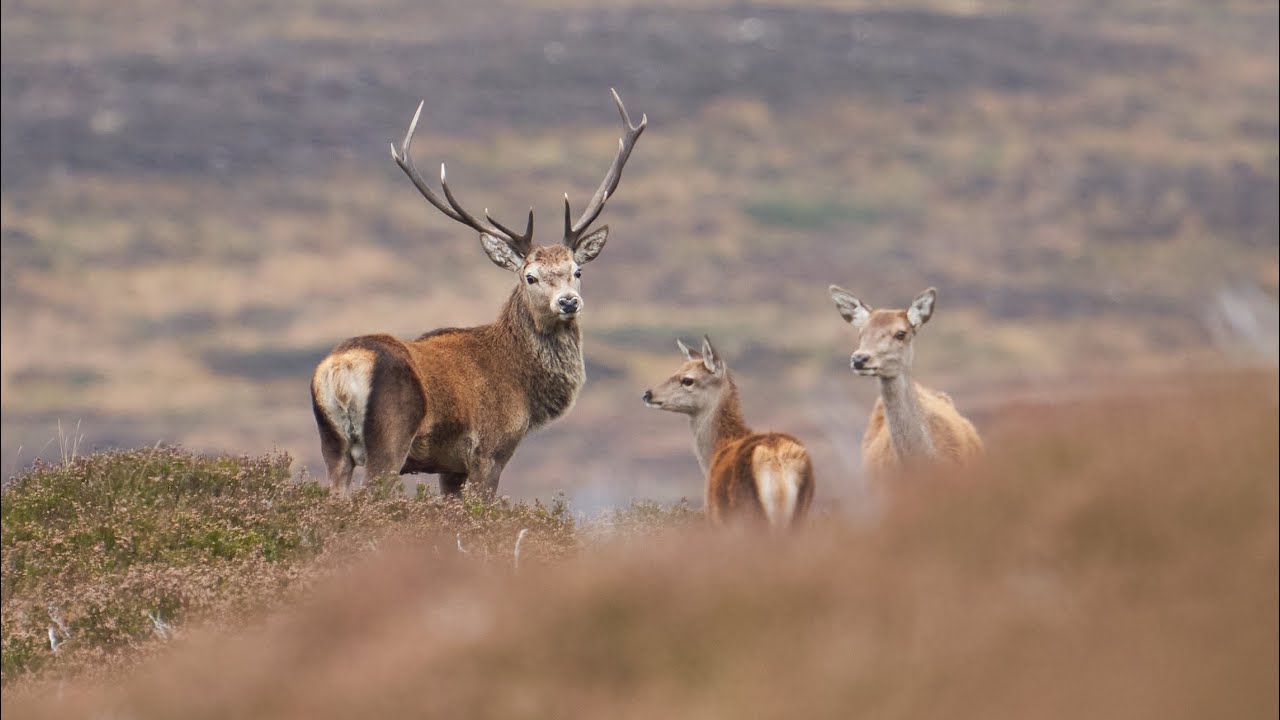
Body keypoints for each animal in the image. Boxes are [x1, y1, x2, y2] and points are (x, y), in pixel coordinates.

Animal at [311, 89, 646, 496]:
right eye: (530, 277)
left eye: (577, 271)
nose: (568, 301)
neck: (523, 389)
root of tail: (340, 370)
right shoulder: (490, 450)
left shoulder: (449, 468)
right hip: (389, 439)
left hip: (333, 445)